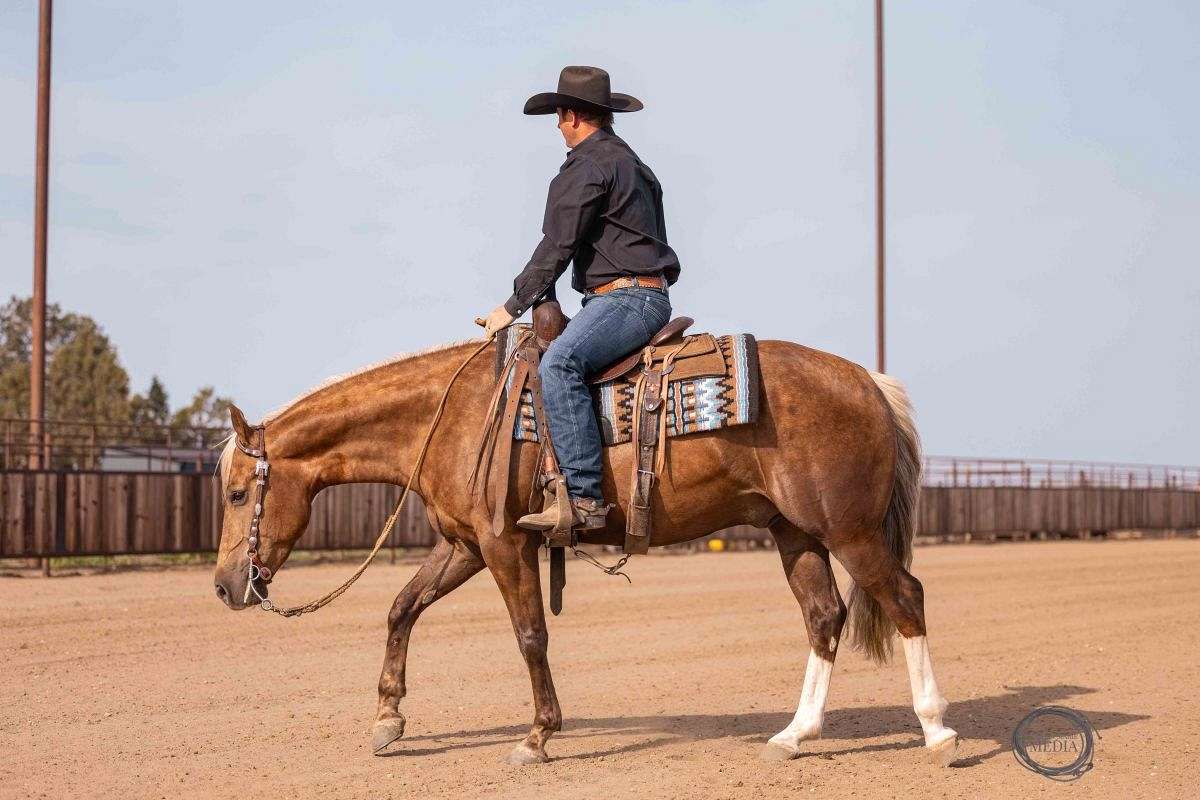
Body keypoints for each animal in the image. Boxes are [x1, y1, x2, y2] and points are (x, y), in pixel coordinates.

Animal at [211, 335, 958, 767]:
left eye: (238, 493)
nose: (223, 586)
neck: (451, 417)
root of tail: (868, 381)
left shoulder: (504, 543)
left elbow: (530, 635)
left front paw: (539, 735)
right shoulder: (464, 544)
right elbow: (401, 608)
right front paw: (388, 720)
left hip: (849, 531)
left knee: (906, 598)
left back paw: (937, 732)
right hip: (795, 532)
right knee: (824, 616)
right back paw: (795, 735)